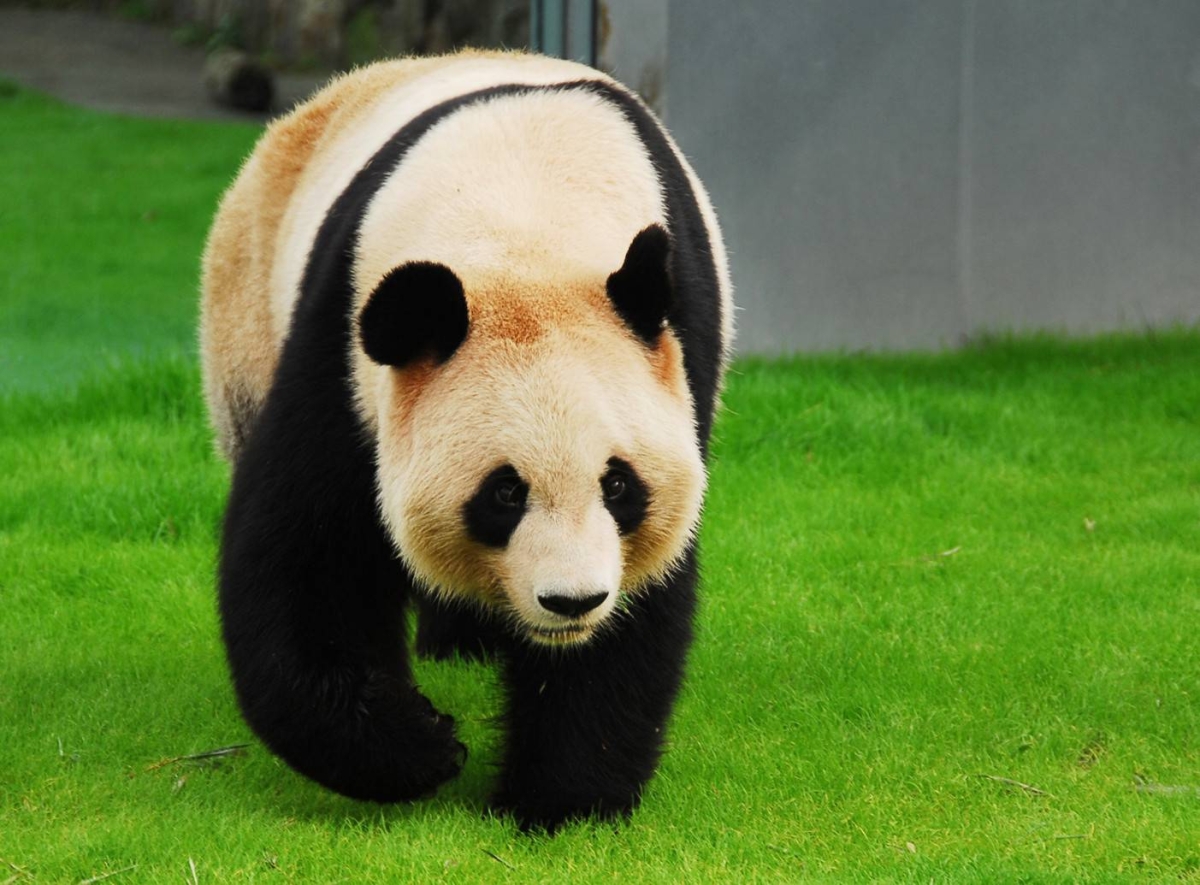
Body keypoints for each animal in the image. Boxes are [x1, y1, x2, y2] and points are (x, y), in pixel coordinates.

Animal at [200, 50, 732, 833]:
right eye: (503, 492)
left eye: (618, 485)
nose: (571, 602)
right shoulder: (342, 348)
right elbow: (311, 557)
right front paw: (422, 745)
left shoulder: (677, 346)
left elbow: (638, 611)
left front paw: (557, 800)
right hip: (247, 308)